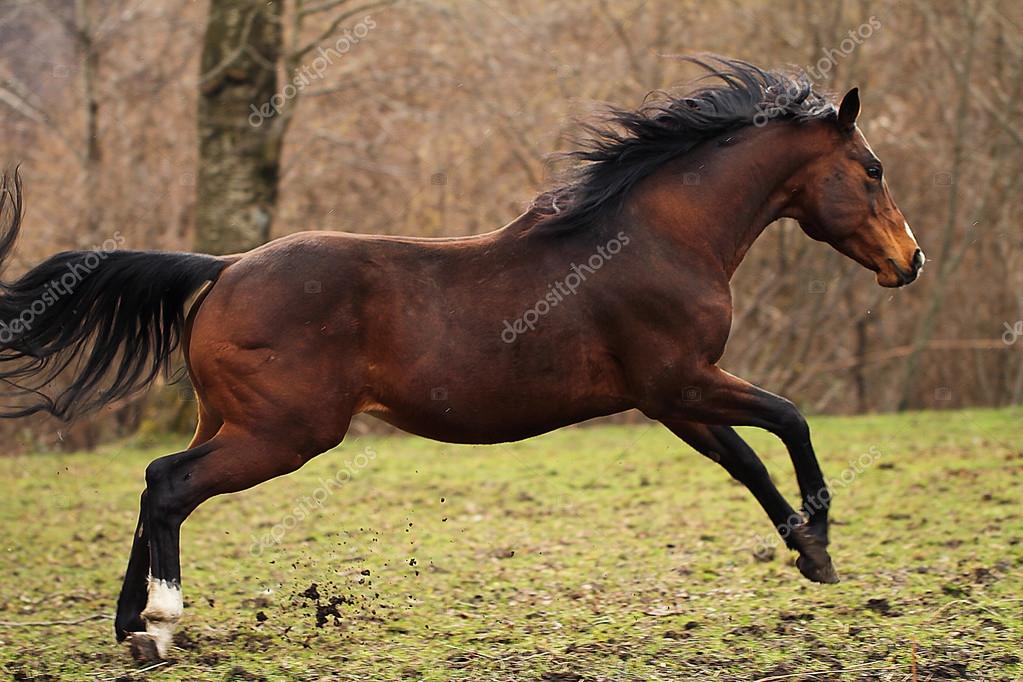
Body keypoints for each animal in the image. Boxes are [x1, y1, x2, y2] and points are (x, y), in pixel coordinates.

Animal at [0, 58, 924, 661]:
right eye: (872, 169)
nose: (909, 261)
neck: (658, 238)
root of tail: (223, 268)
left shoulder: (670, 400)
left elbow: (744, 463)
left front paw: (808, 554)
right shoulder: (683, 381)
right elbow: (788, 420)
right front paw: (821, 538)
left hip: (226, 419)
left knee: (155, 486)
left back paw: (128, 626)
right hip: (283, 433)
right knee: (168, 484)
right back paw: (159, 625)